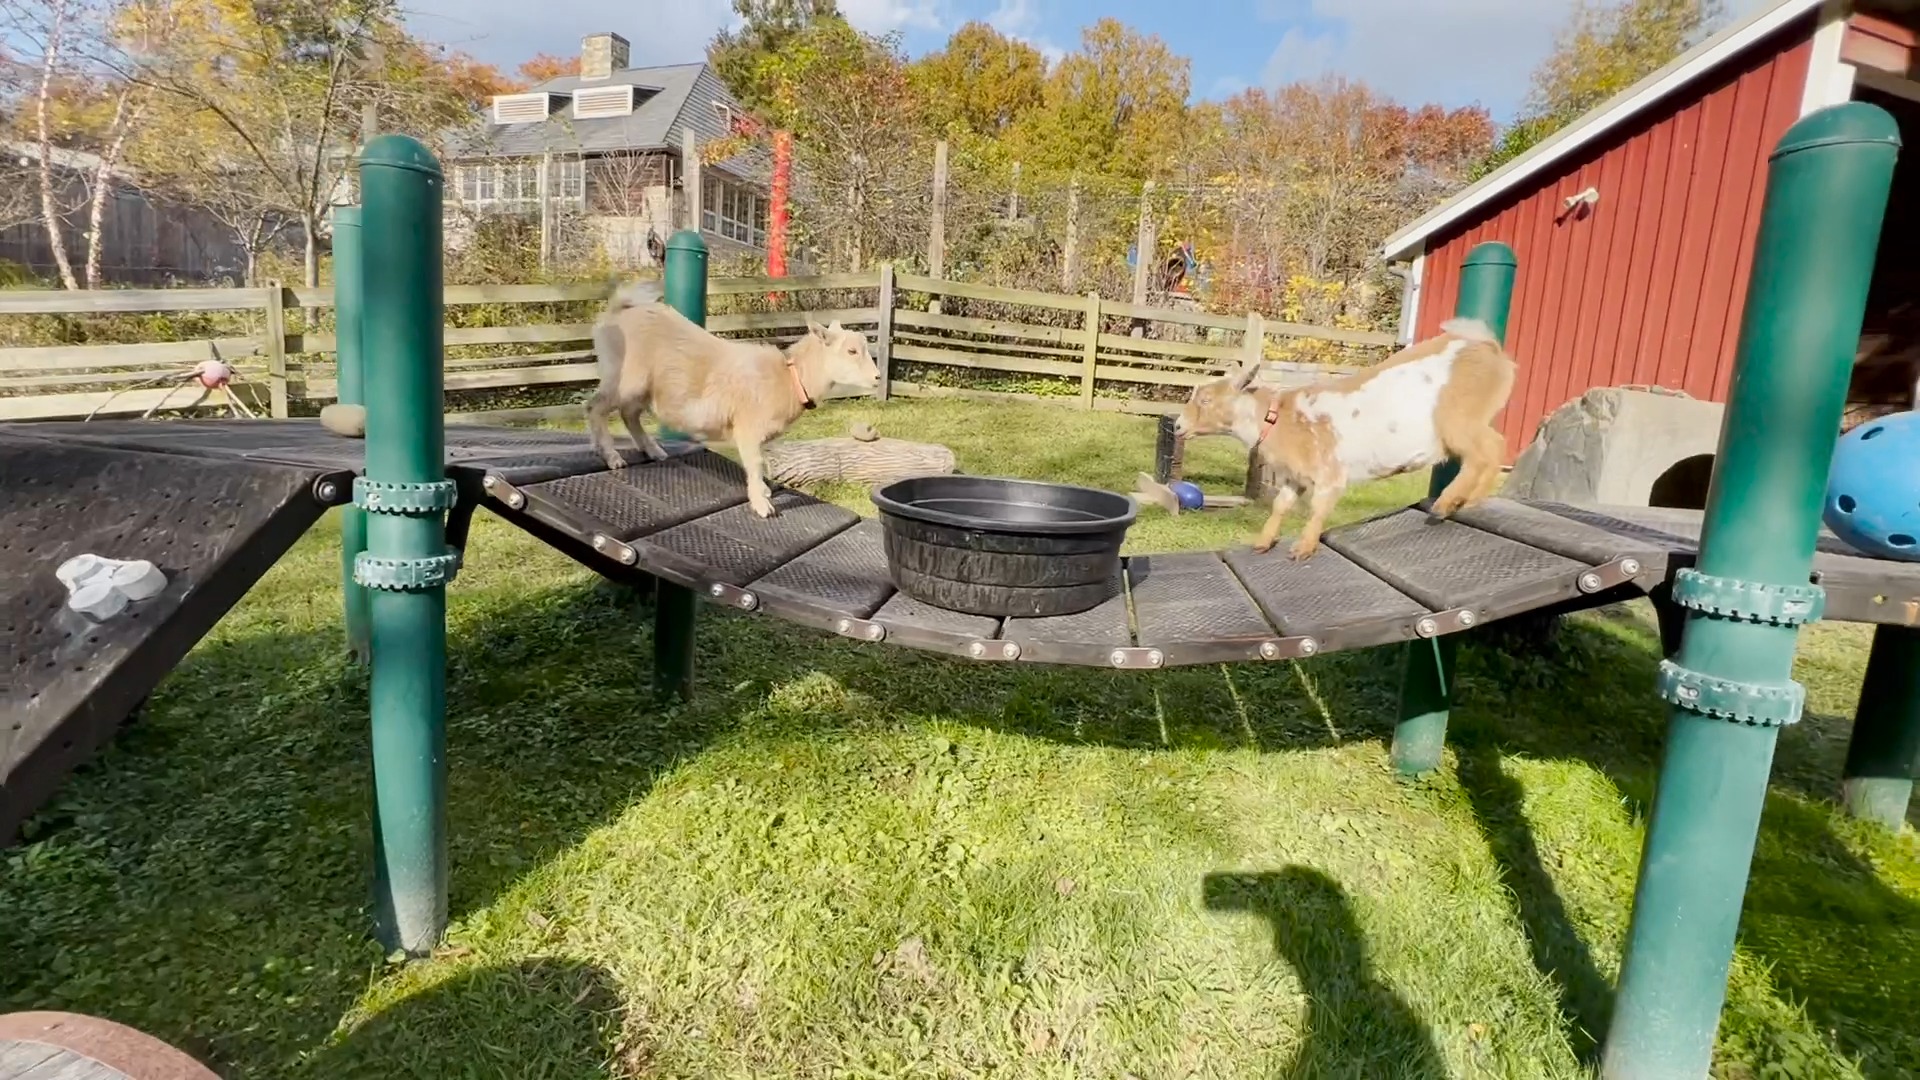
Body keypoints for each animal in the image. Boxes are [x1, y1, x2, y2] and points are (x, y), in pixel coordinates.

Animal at [585, 282, 881, 518]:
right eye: (851, 351)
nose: (878, 377)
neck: (789, 378)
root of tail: (618, 311)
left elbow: (760, 461)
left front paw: (763, 492)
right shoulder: (748, 427)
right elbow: (755, 463)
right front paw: (762, 506)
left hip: (641, 388)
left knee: (628, 414)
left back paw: (653, 450)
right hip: (626, 378)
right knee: (595, 406)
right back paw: (612, 457)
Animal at [1175, 317, 1516, 560]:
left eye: (1205, 399)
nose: (1178, 426)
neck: (1279, 417)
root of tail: (1489, 349)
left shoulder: (1329, 473)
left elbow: (1319, 507)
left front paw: (1303, 548)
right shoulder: (1293, 478)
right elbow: (1281, 506)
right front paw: (1262, 542)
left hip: (1458, 419)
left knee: (1487, 449)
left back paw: (1447, 503)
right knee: (1490, 449)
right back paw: (1470, 500)